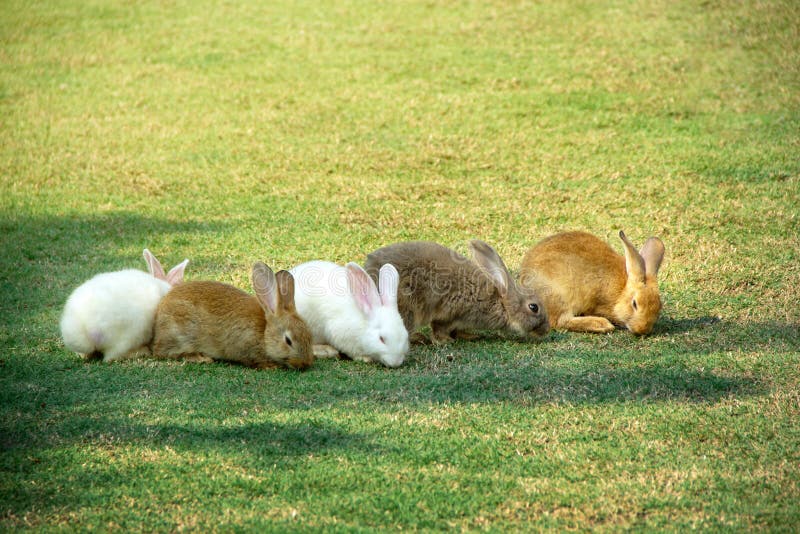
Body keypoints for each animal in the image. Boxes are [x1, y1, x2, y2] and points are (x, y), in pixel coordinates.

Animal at [151, 262, 314, 370]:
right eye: (288, 341)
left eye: (309, 336)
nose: (305, 363)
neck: (264, 332)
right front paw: (271, 366)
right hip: (180, 334)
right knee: (165, 353)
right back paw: (200, 358)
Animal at [364, 240, 549, 344]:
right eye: (534, 307)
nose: (547, 330)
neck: (501, 303)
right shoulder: (450, 312)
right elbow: (439, 328)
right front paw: (445, 341)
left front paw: (469, 336)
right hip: (406, 309)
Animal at [519, 230, 665, 335]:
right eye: (634, 304)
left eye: (659, 307)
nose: (642, 330)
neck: (621, 290)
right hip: (560, 295)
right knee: (559, 321)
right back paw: (601, 325)